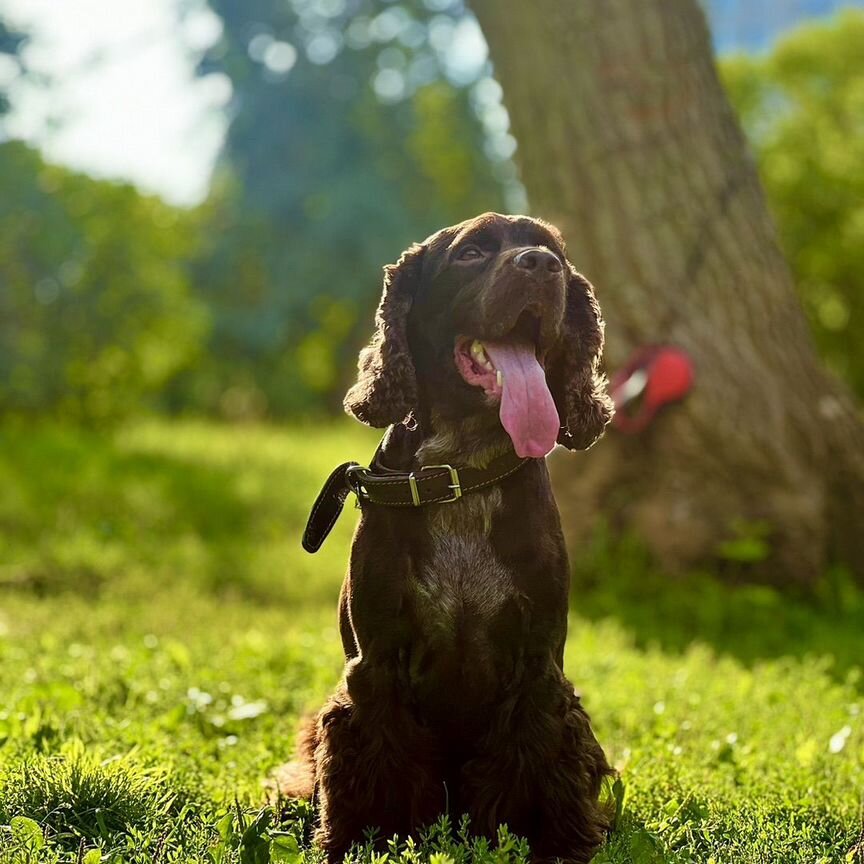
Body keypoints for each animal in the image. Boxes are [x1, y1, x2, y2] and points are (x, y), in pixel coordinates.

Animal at [276, 213, 616, 860]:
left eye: (555, 252)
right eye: (472, 253)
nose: (542, 265)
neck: (461, 470)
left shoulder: (538, 664)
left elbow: (535, 760)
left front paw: (548, 842)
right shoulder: (377, 663)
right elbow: (376, 760)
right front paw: (362, 840)